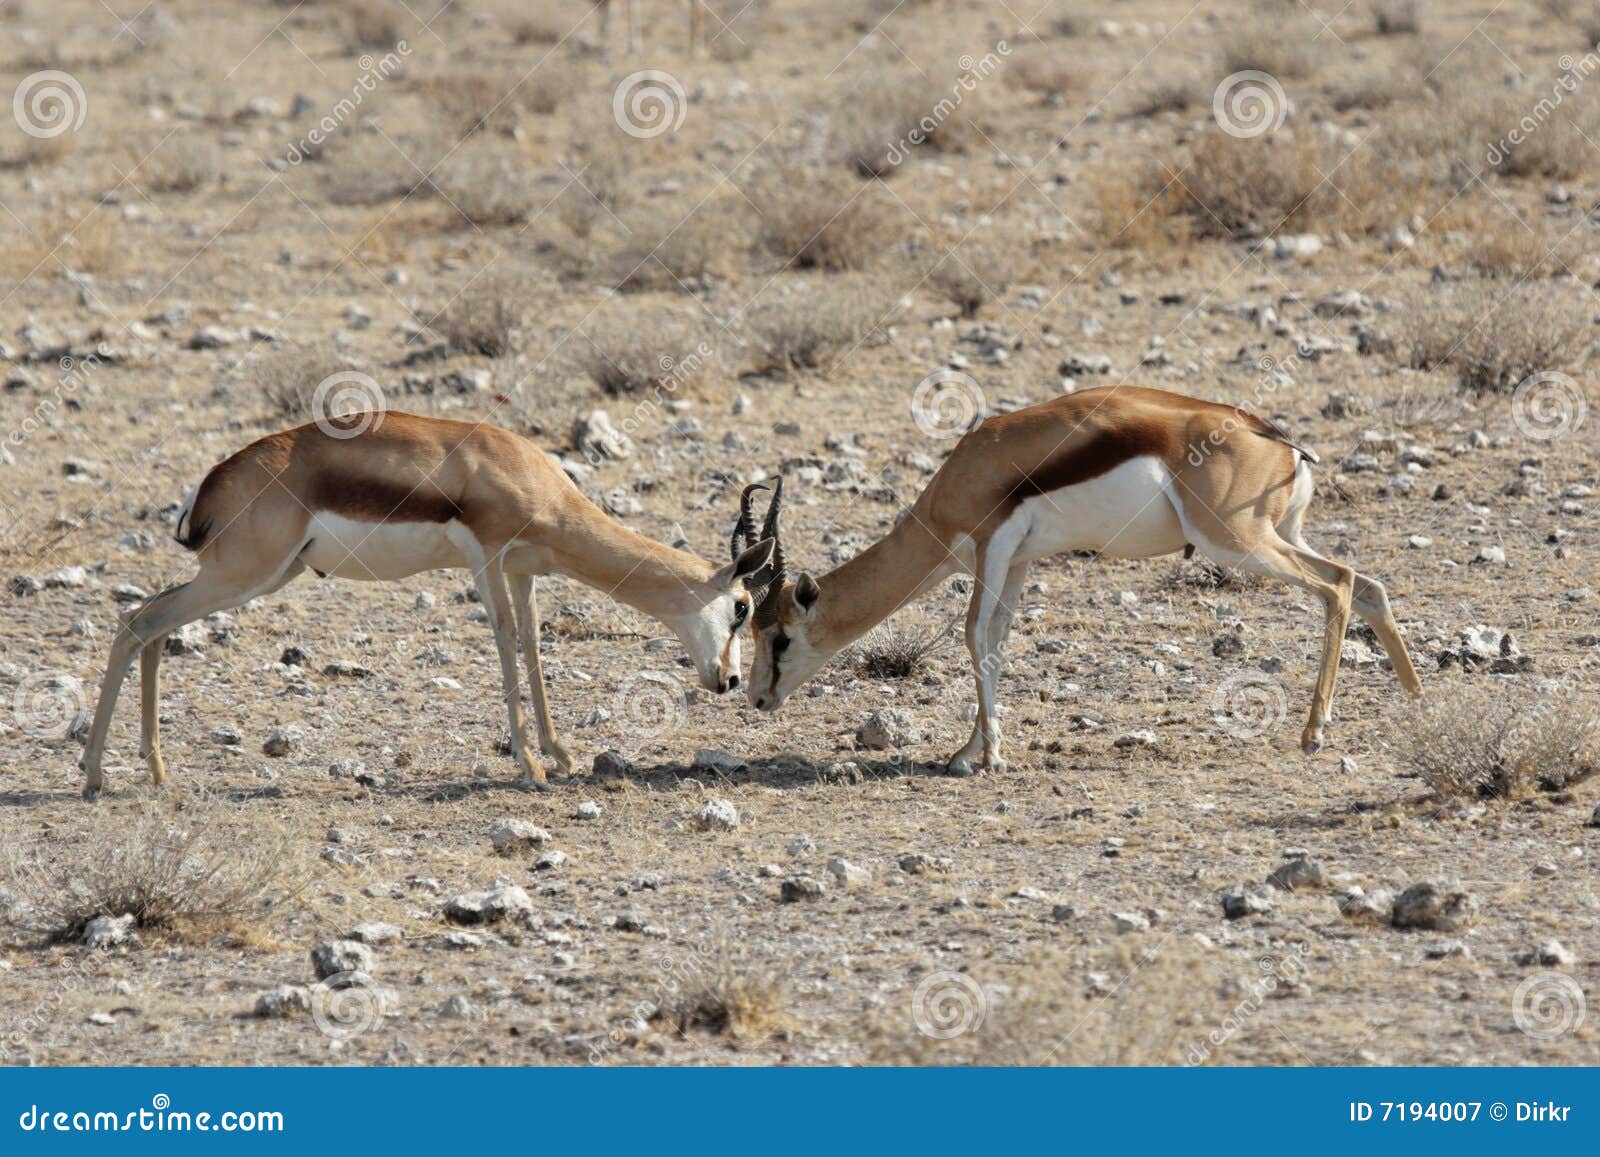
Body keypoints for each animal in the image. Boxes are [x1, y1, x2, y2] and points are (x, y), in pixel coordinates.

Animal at [80, 411, 775, 798]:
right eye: (742, 606)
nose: (727, 680)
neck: (529, 479)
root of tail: (212, 482)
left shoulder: (522, 571)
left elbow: (533, 648)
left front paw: (561, 754)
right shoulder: (487, 558)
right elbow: (504, 645)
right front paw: (530, 766)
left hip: (263, 575)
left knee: (151, 628)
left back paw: (152, 772)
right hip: (242, 575)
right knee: (137, 622)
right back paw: (93, 774)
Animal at [742, 385, 1423, 774]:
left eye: (779, 636)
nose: (756, 698)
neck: (961, 477)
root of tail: (1281, 442)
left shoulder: (992, 546)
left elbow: (973, 635)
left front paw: (989, 757)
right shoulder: (1017, 561)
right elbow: (997, 641)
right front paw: (966, 752)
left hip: (1234, 541)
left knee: (1336, 586)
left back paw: (1312, 735)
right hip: (1283, 534)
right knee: (1364, 581)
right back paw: (1416, 699)